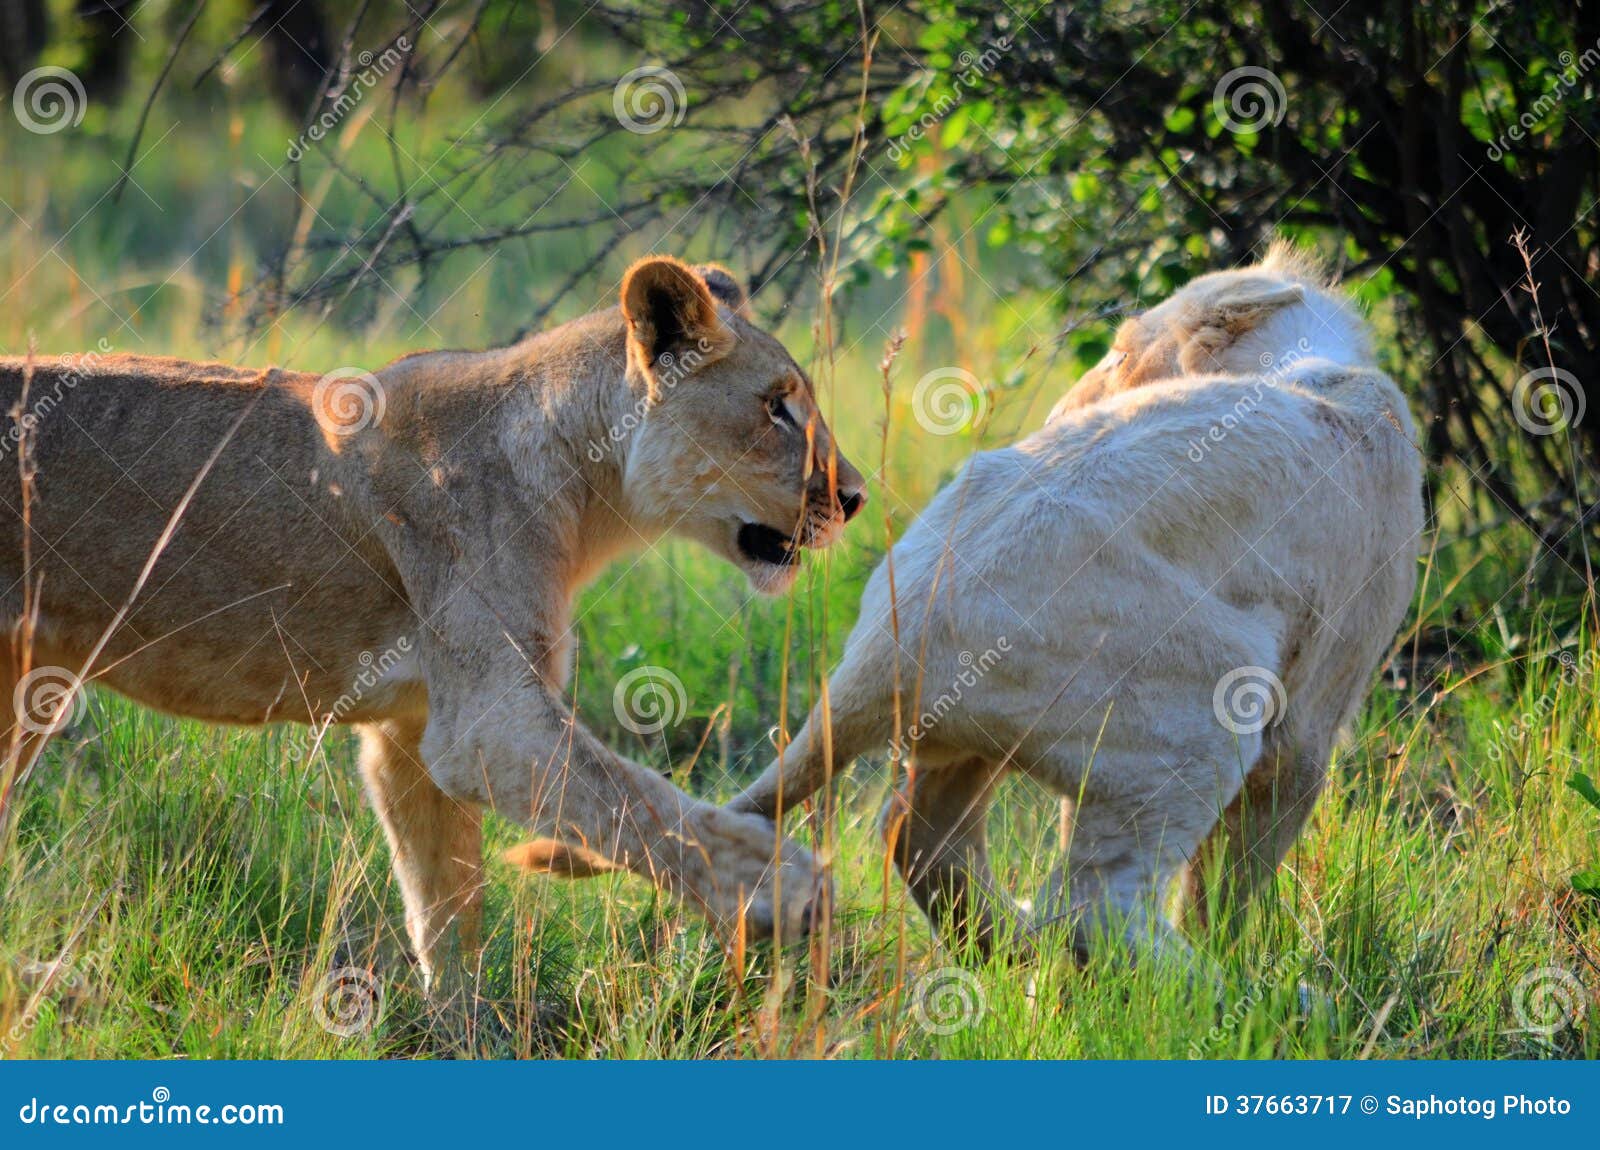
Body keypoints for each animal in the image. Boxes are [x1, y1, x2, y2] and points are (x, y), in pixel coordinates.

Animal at [0, 257, 867, 986]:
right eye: (776, 407)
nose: (855, 497)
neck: (585, 491)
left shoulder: (412, 736)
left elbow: (446, 910)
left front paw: (467, 1028)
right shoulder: (492, 724)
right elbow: (641, 800)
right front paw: (786, 889)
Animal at [726, 247, 1423, 969]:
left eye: (1119, 353)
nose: (1064, 408)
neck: (1304, 364)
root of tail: (883, 648)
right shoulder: (1313, 712)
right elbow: (1233, 875)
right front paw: (1232, 951)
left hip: (974, 734)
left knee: (917, 831)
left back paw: (1015, 948)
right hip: (1199, 699)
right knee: (1089, 905)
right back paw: (1235, 987)